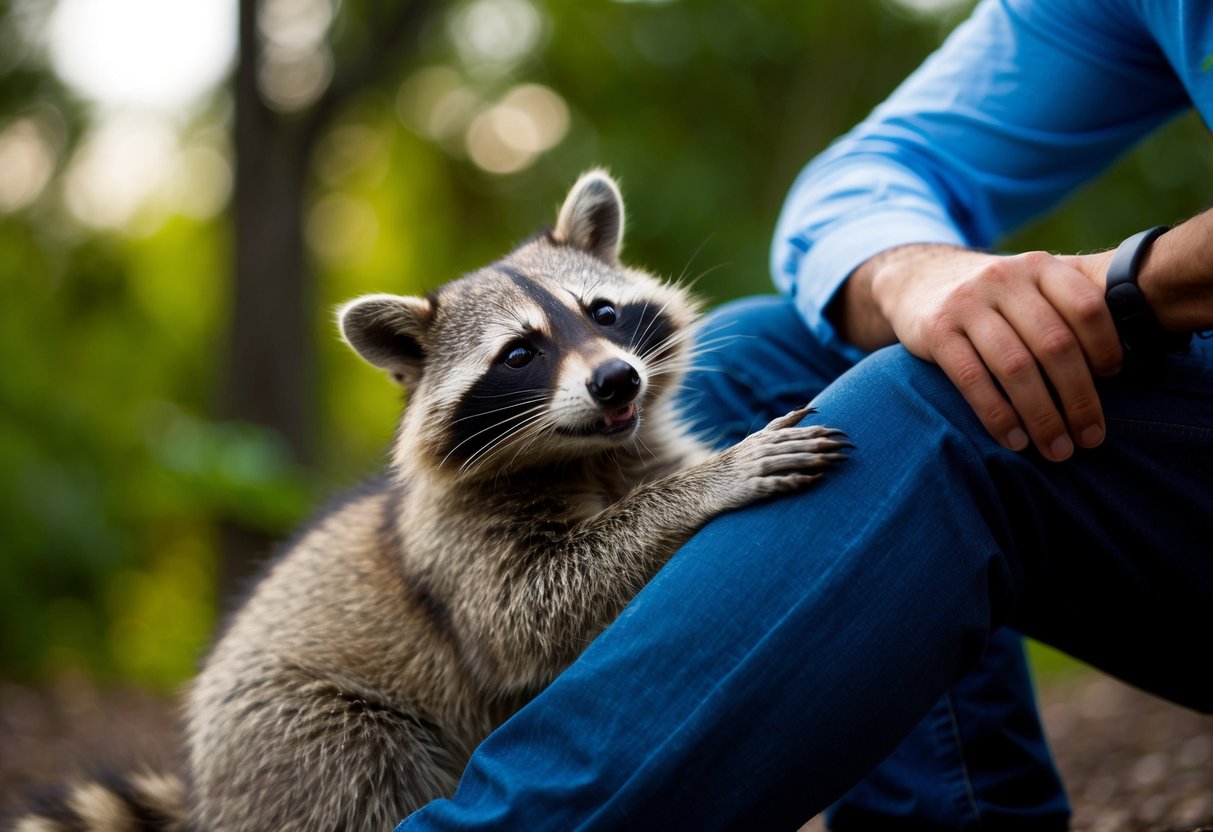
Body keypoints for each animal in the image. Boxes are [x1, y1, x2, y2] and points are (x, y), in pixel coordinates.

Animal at [11, 171, 849, 832]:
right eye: (520, 353)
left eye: (603, 313)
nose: (617, 381)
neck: (587, 454)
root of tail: (207, 800)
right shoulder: (459, 547)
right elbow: (531, 610)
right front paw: (706, 485)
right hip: (299, 731)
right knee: (359, 775)